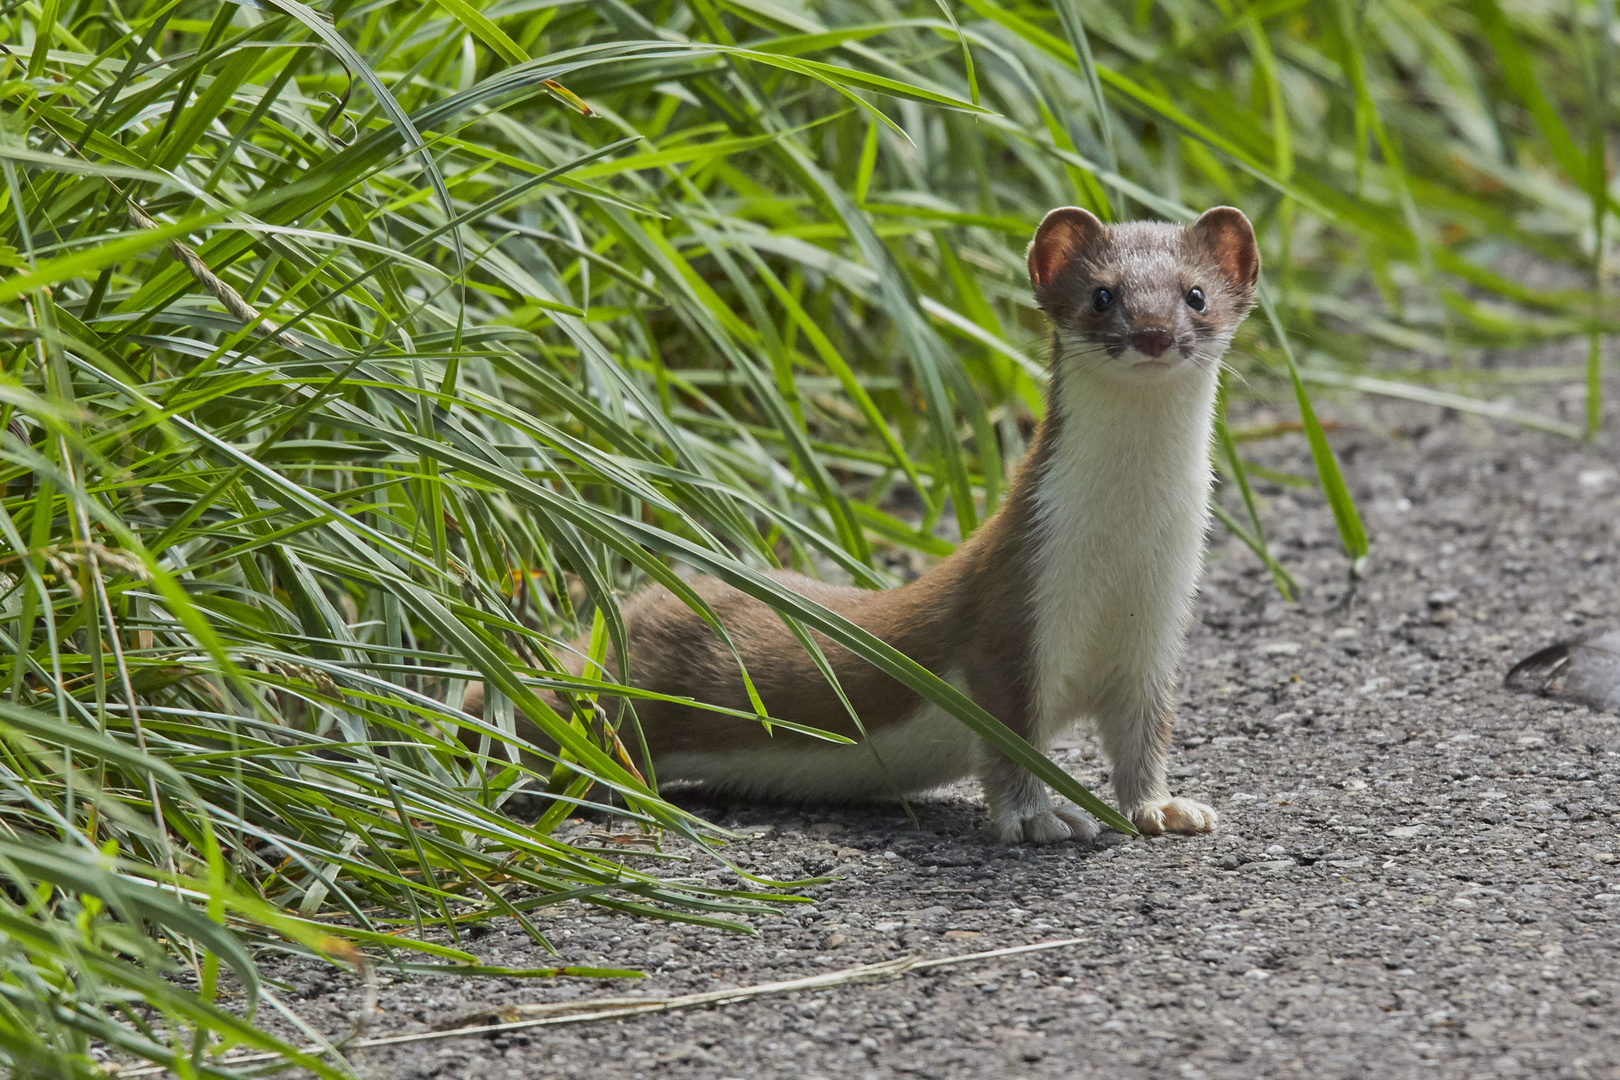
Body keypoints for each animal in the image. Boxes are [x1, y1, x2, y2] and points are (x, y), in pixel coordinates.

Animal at [463, 204, 1257, 841]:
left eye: (1196, 294)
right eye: (1101, 295)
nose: (1151, 333)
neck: (1124, 548)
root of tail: (626, 611)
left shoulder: (1157, 630)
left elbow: (1142, 736)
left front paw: (1165, 809)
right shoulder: (1012, 611)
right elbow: (1010, 740)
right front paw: (1040, 817)